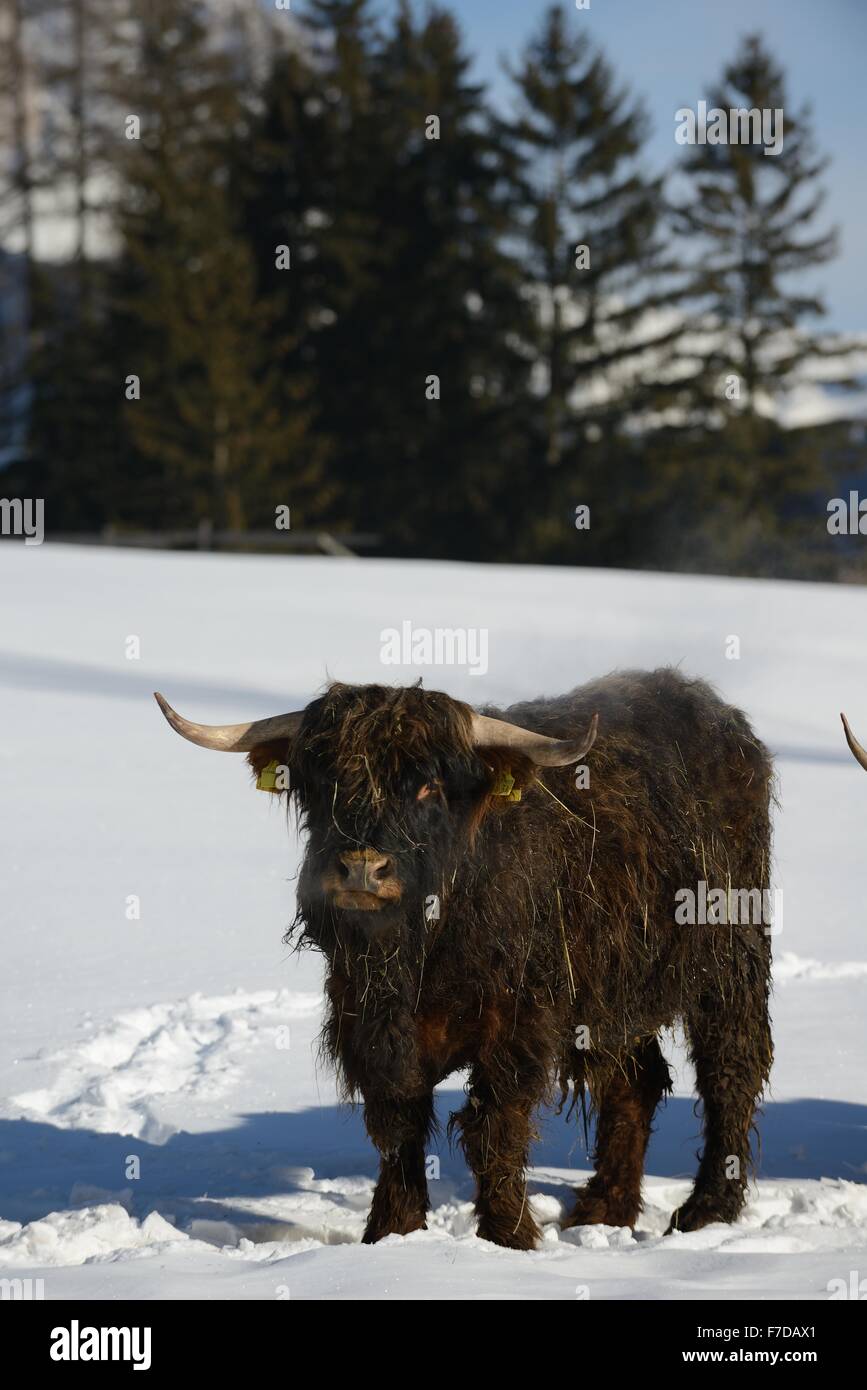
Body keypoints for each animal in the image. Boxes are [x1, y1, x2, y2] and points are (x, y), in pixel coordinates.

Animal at [155, 667, 774, 1248]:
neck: (423, 949)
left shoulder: (520, 1023)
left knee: (731, 1069)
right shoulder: (371, 1021)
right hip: (613, 992)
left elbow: (492, 1127)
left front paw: (507, 1237)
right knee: (635, 1083)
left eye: (429, 787)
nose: (361, 868)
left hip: (730, 957)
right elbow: (397, 1123)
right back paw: (603, 1211)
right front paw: (391, 1233)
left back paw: (706, 1211)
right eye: (324, 780)